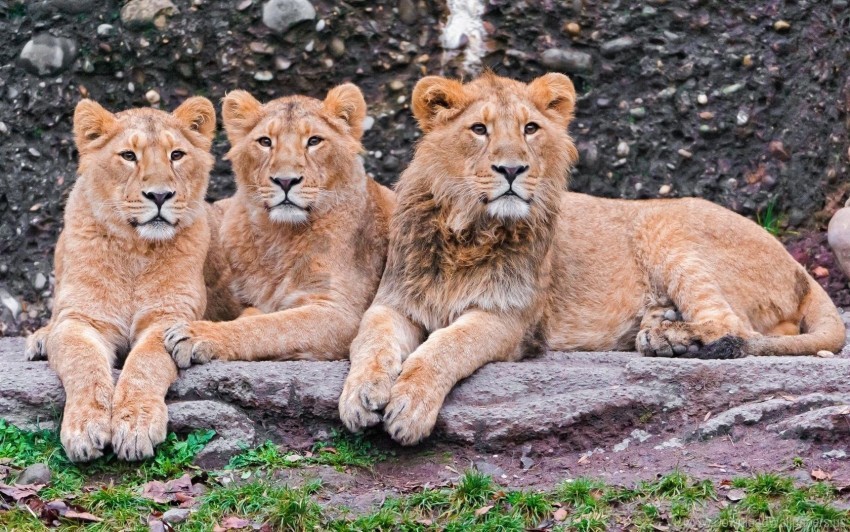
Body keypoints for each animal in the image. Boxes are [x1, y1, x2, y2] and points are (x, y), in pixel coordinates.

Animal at [23, 97, 226, 462]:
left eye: (177, 155)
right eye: (129, 156)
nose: (159, 195)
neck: (136, 249)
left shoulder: (168, 317)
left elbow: (146, 364)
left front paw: (135, 427)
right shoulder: (82, 318)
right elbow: (83, 363)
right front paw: (85, 428)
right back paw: (42, 338)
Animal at [163, 84, 395, 365]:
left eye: (314, 141)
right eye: (265, 142)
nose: (285, 181)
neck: (279, 235)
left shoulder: (343, 314)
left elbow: (271, 326)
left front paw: (197, 334)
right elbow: (262, 319)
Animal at [338, 72, 846, 445]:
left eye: (530, 129)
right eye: (478, 130)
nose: (511, 169)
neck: (468, 231)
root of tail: (797, 264)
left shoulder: (509, 319)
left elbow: (445, 348)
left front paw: (408, 407)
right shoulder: (394, 302)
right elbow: (369, 341)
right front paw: (360, 396)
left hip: (663, 223)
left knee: (736, 328)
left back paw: (674, 340)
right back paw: (660, 331)